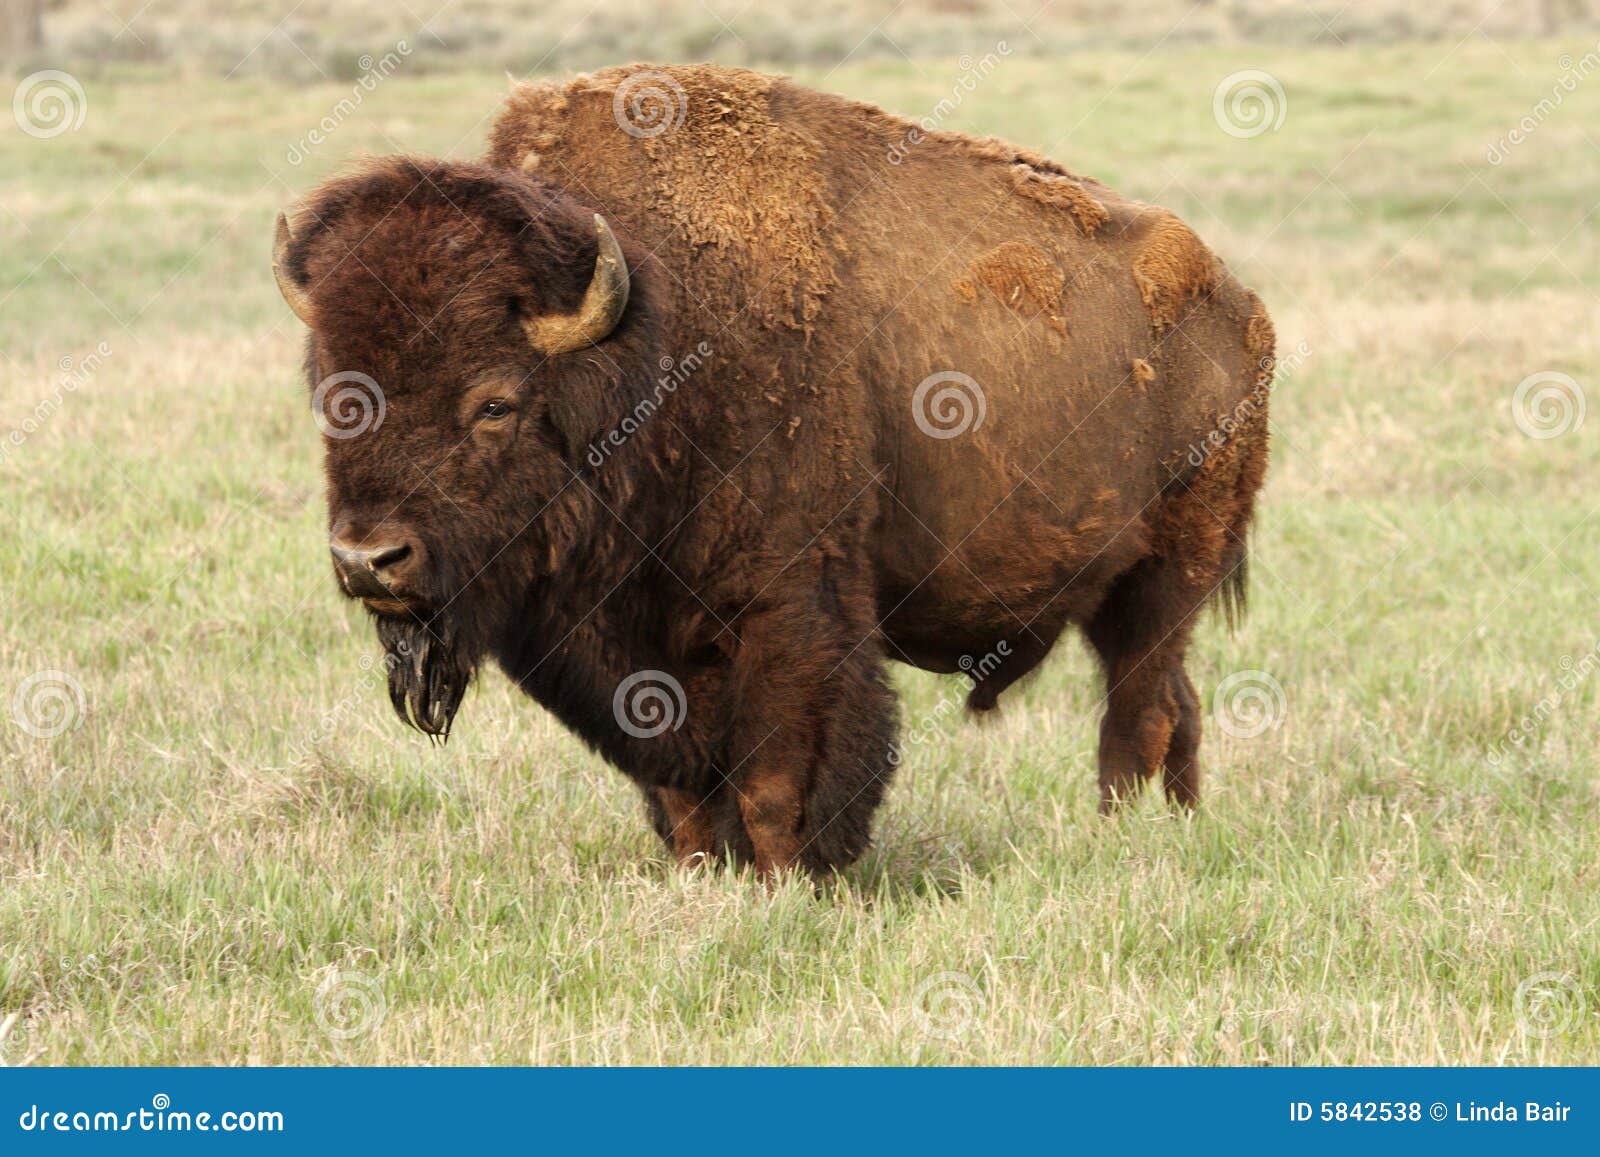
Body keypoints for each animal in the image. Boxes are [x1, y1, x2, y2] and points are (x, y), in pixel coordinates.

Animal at [271, 64, 1274, 881]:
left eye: (493, 404)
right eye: (337, 394)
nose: (369, 560)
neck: (657, 335)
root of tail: (1239, 304)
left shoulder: (790, 611)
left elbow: (776, 779)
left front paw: (793, 882)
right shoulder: (646, 653)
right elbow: (681, 787)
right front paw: (701, 876)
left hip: (1164, 578)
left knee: (1138, 713)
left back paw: (1119, 838)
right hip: (1126, 598)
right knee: (1176, 705)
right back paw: (1173, 830)